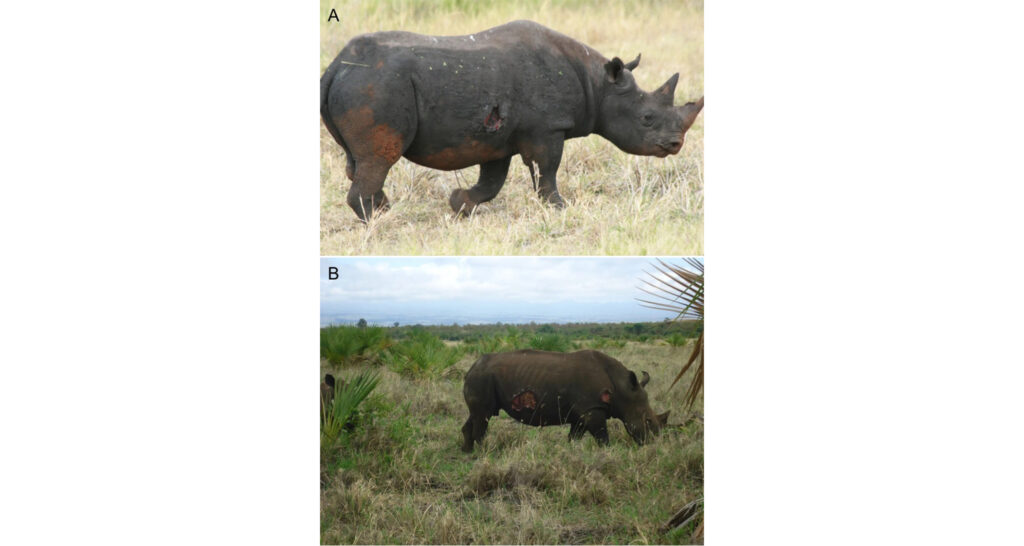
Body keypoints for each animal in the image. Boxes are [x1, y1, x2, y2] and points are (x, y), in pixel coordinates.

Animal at [320, 20, 704, 221]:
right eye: (647, 118)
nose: (675, 144)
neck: (597, 84)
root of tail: (336, 66)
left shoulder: (497, 137)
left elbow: (493, 180)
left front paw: (460, 204)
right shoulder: (547, 128)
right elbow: (547, 170)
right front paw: (560, 208)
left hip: (366, 84)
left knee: (362, 160)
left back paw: (384, 209)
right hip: (376, 86)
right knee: (379, 157)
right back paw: (380, 219)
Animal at [460, 349, 670, 452]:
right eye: (648, 422)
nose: (654, 445)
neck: (622, 389)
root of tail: (470, 369)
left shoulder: (582, 412)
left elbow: (574, 437)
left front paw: (570, 454)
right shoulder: (591, 409)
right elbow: (602, 437)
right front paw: (609, 454)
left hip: (481, 378)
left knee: (476, 415)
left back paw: (468, 452)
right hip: (482, 378)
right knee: (483, 416)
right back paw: (484, 453)